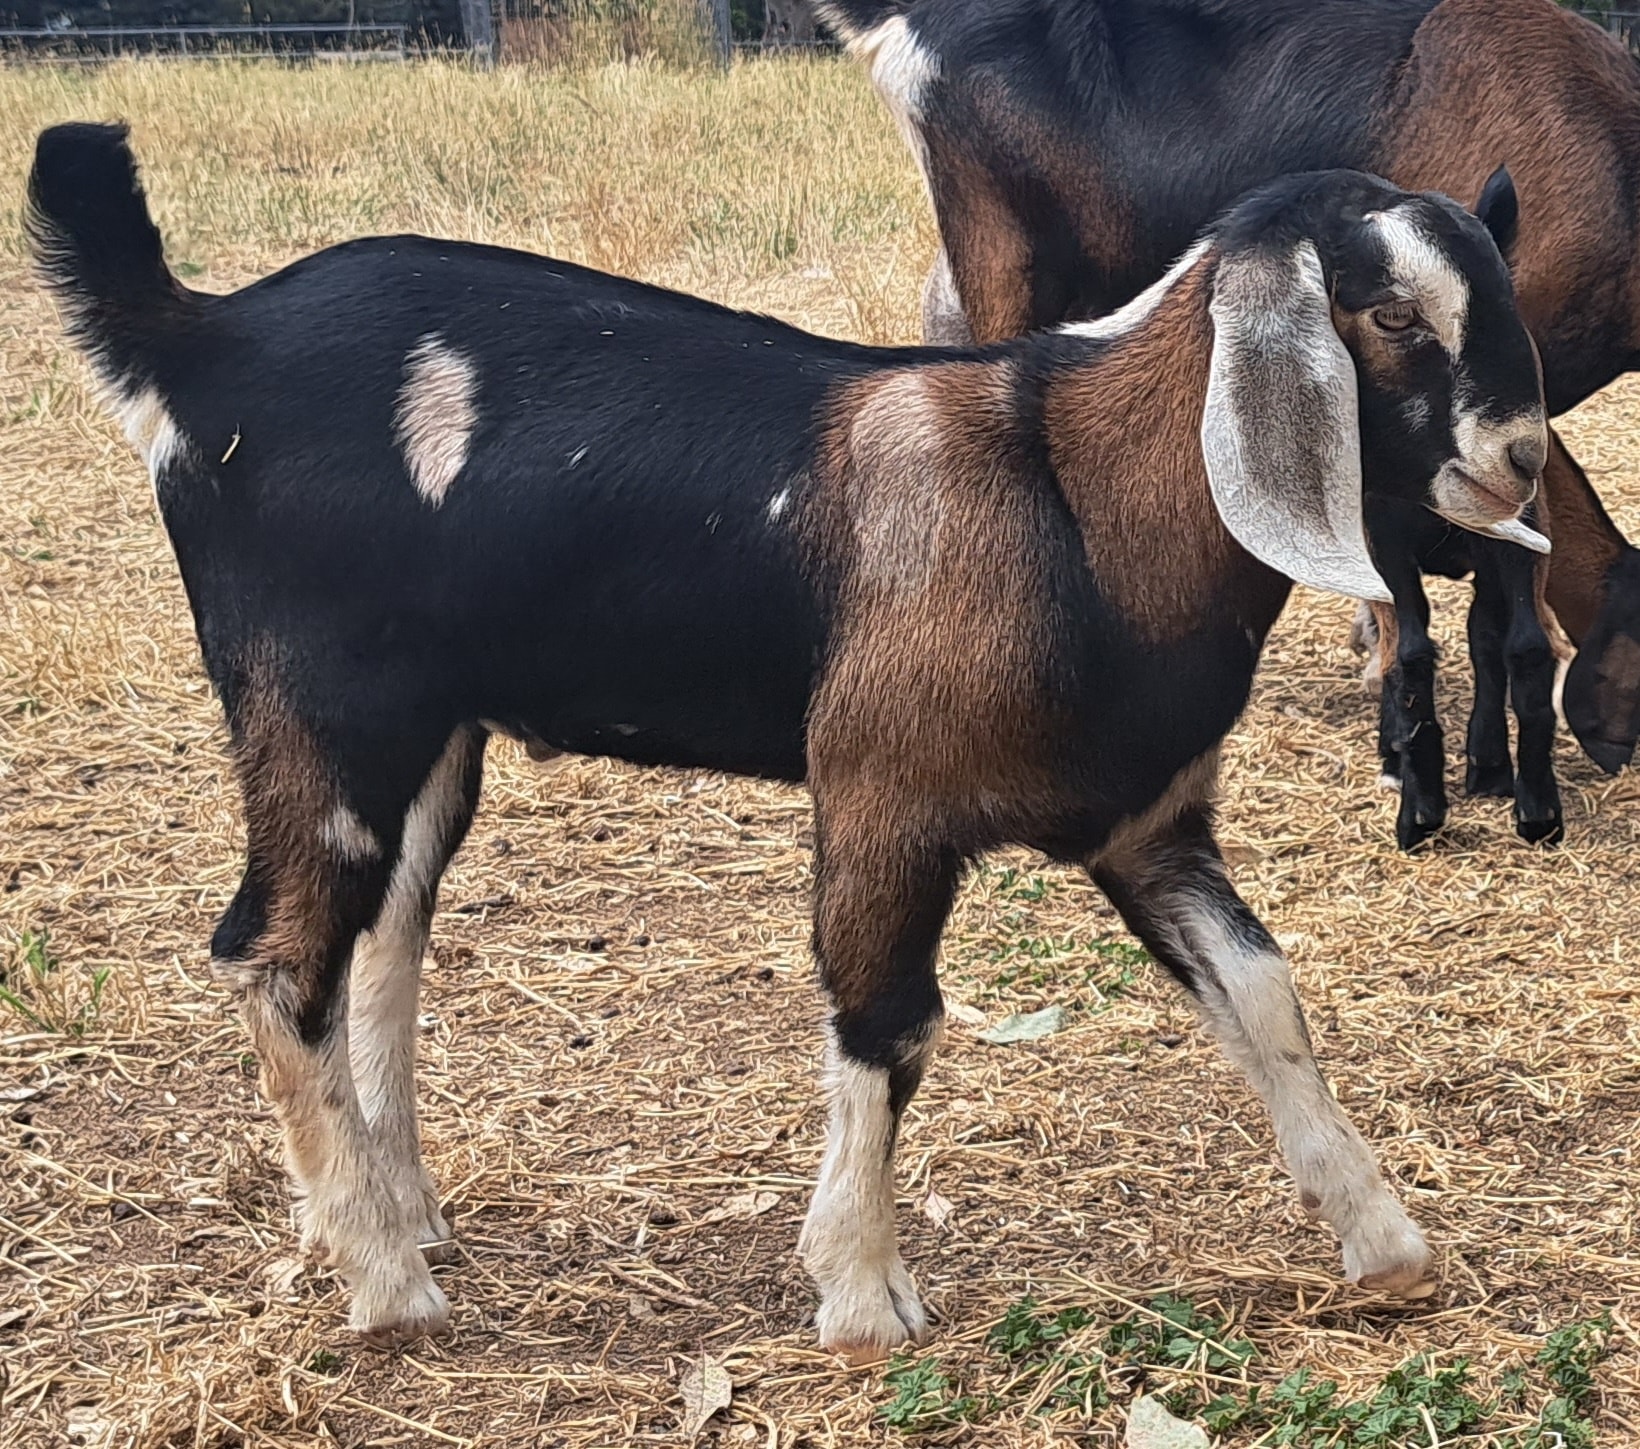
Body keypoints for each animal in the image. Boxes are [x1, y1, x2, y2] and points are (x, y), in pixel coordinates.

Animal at [31, 124, 1545, 1360]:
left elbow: (1261, 991)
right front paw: (863, 1297)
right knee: (278, 954)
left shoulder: (1148, 824)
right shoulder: (885, 795)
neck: (1070, 493)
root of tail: (201, 339)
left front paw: (1385, 1243)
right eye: (1389, 314)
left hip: (426, 741)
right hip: (324, 717)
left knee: (385, 944)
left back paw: (403, 1218)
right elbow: (887, 1023)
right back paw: (385, 1283)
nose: (1521, 457)